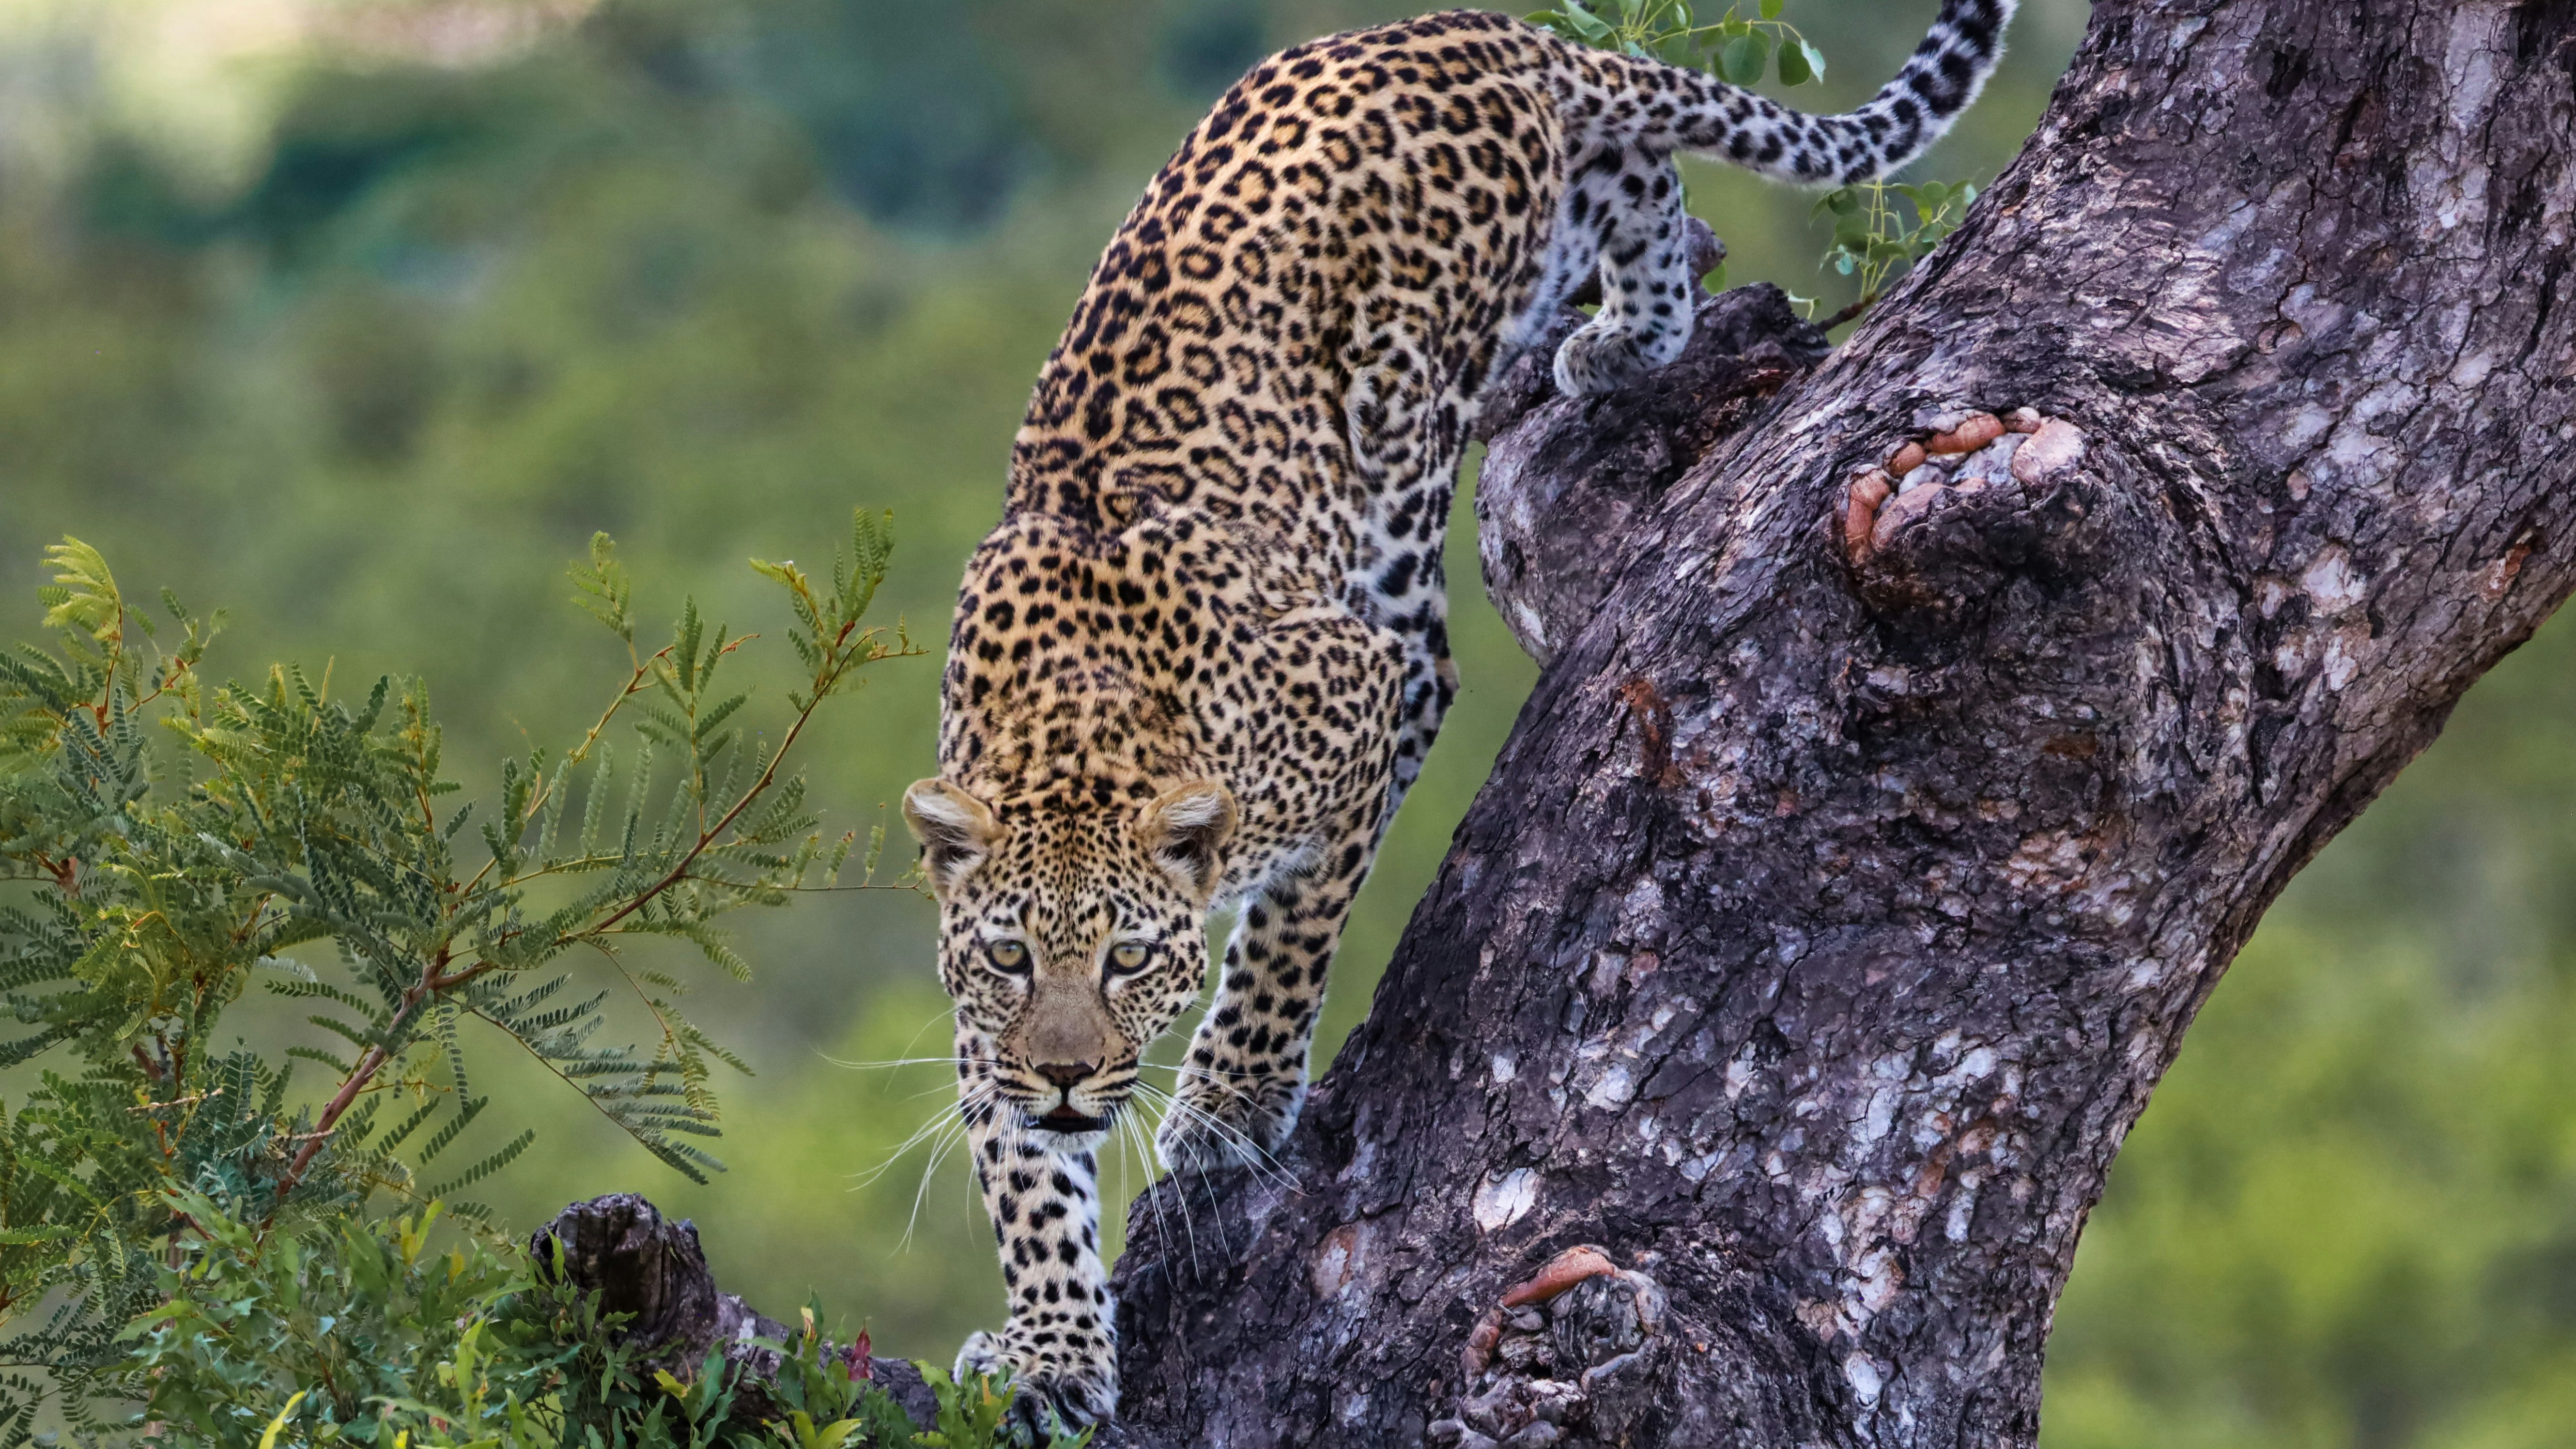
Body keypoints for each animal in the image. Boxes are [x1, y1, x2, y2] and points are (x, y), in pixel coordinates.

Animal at [900, 1, 2017, 1429]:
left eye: (1129, 960)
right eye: (1008, 958)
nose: (1061, 1071)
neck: (1074, 733)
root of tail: (1454, 32)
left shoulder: (1342, 706)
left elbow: (1284, 942)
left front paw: (1227, 1103)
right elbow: (1022, 1176)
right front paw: (1049, 1346)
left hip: (1398, 477)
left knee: (1430, 644)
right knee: (1634, 181)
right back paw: (1626, 331)